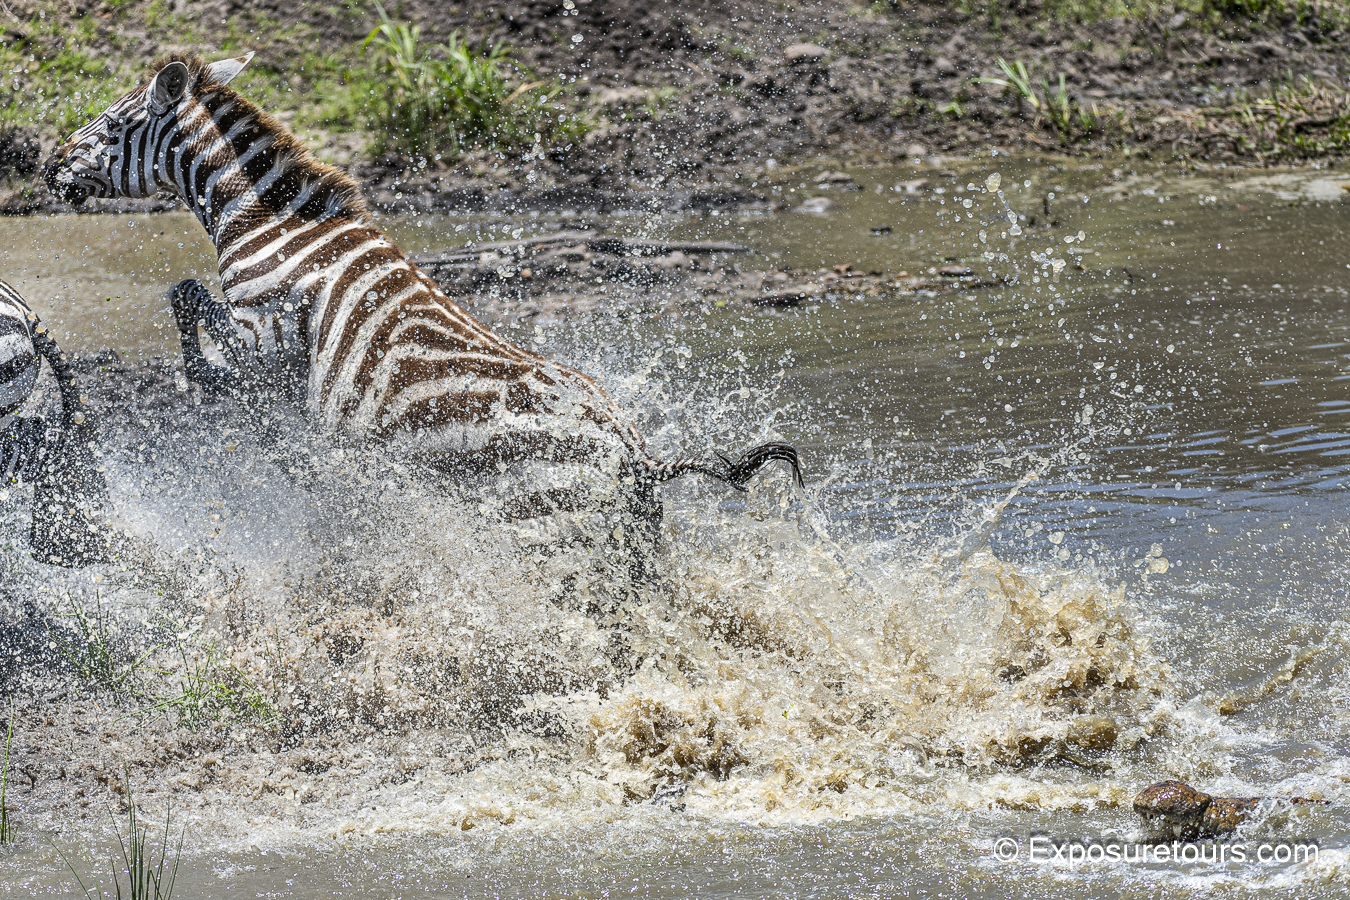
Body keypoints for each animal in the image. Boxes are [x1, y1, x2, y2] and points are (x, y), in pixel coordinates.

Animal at [43, 54, 801, 546]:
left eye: (112, 123)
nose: (47, 165)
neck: (270, 223)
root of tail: (637, 454)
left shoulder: (270, 325)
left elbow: (187, 301)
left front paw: (216, 392)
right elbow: (191, 306)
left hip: (539, 528)